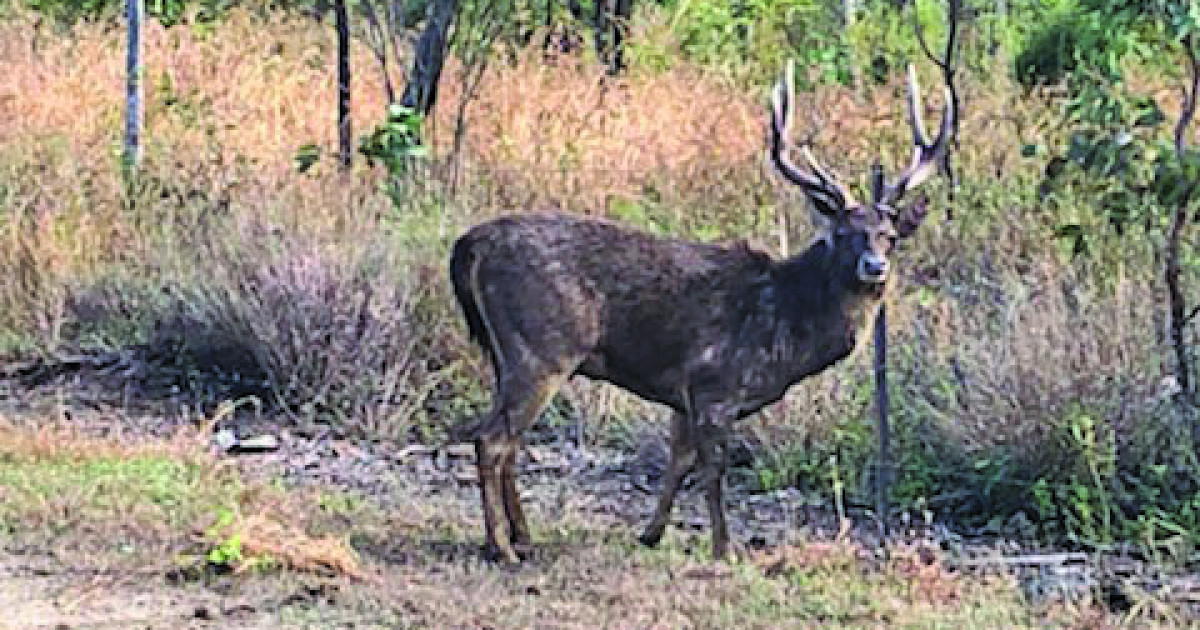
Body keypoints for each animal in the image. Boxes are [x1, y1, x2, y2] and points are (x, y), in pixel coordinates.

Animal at [448, 62, 954, 564]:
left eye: (890, 235)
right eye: (844, 234)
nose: (874, 267)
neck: (786, 327)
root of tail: (470, 245)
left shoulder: (682, 394)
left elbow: (678, 461)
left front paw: (651, 534)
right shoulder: (714, 383)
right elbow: (713, 470)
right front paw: (723, 547)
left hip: (508, 354)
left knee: (509, 442)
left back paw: (523, 537)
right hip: (542, 348)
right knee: (492, 439)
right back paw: (501, 547)